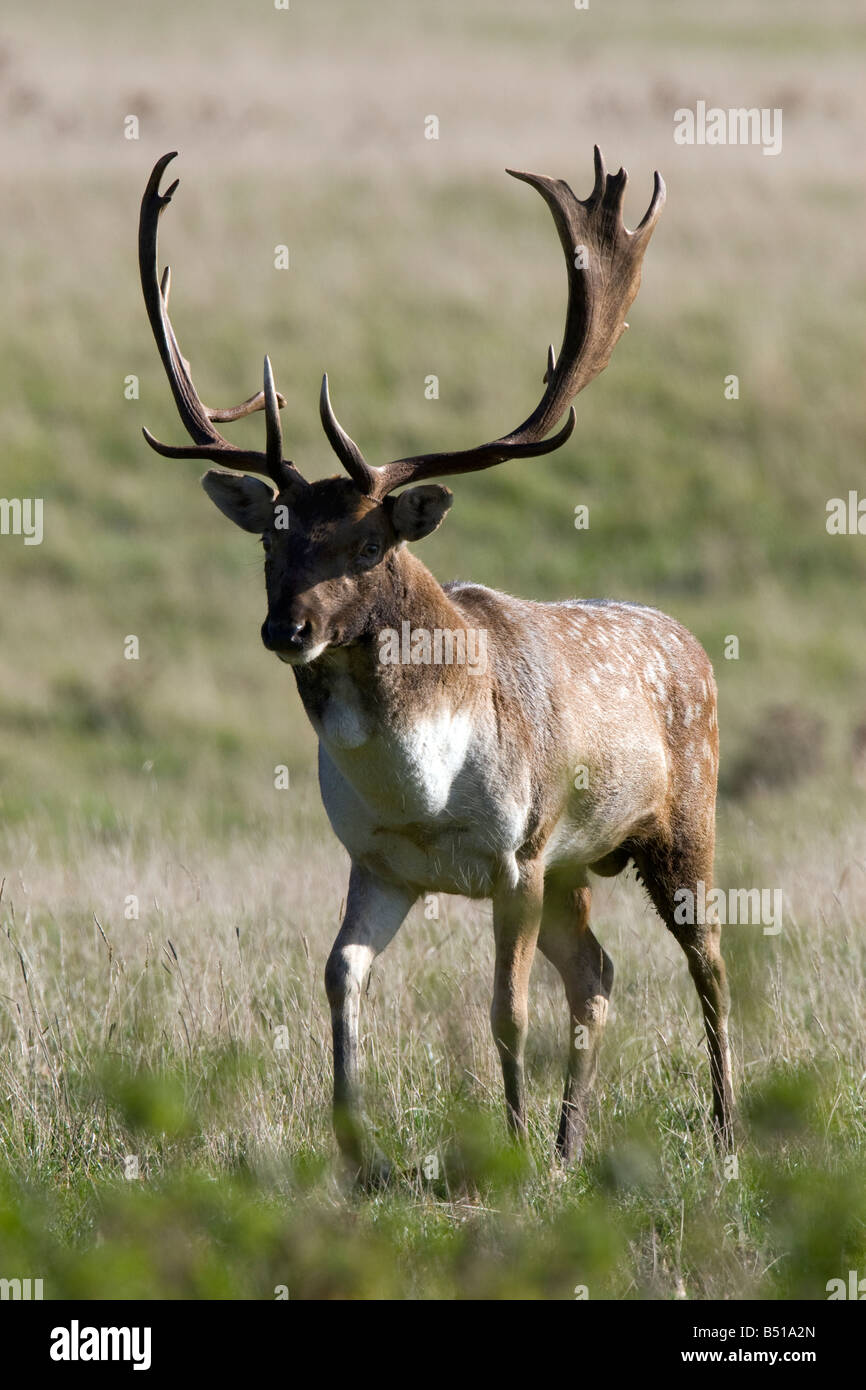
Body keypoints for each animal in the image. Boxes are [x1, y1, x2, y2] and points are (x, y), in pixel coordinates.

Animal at [139, 152, 733, 1178]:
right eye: (272, 537)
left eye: (371, 541)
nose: (285, 628)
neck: (423, 787)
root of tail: (692, 645)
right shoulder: (377, 863)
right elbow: (339, 977)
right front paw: (357, 1155)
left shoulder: (518, 854)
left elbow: (507, 1009)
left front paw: (513, 1149)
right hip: (580, 867)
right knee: (600, 974)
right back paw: (574, 1143)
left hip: (678, 827)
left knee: (713, 967)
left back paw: (724, 1133)